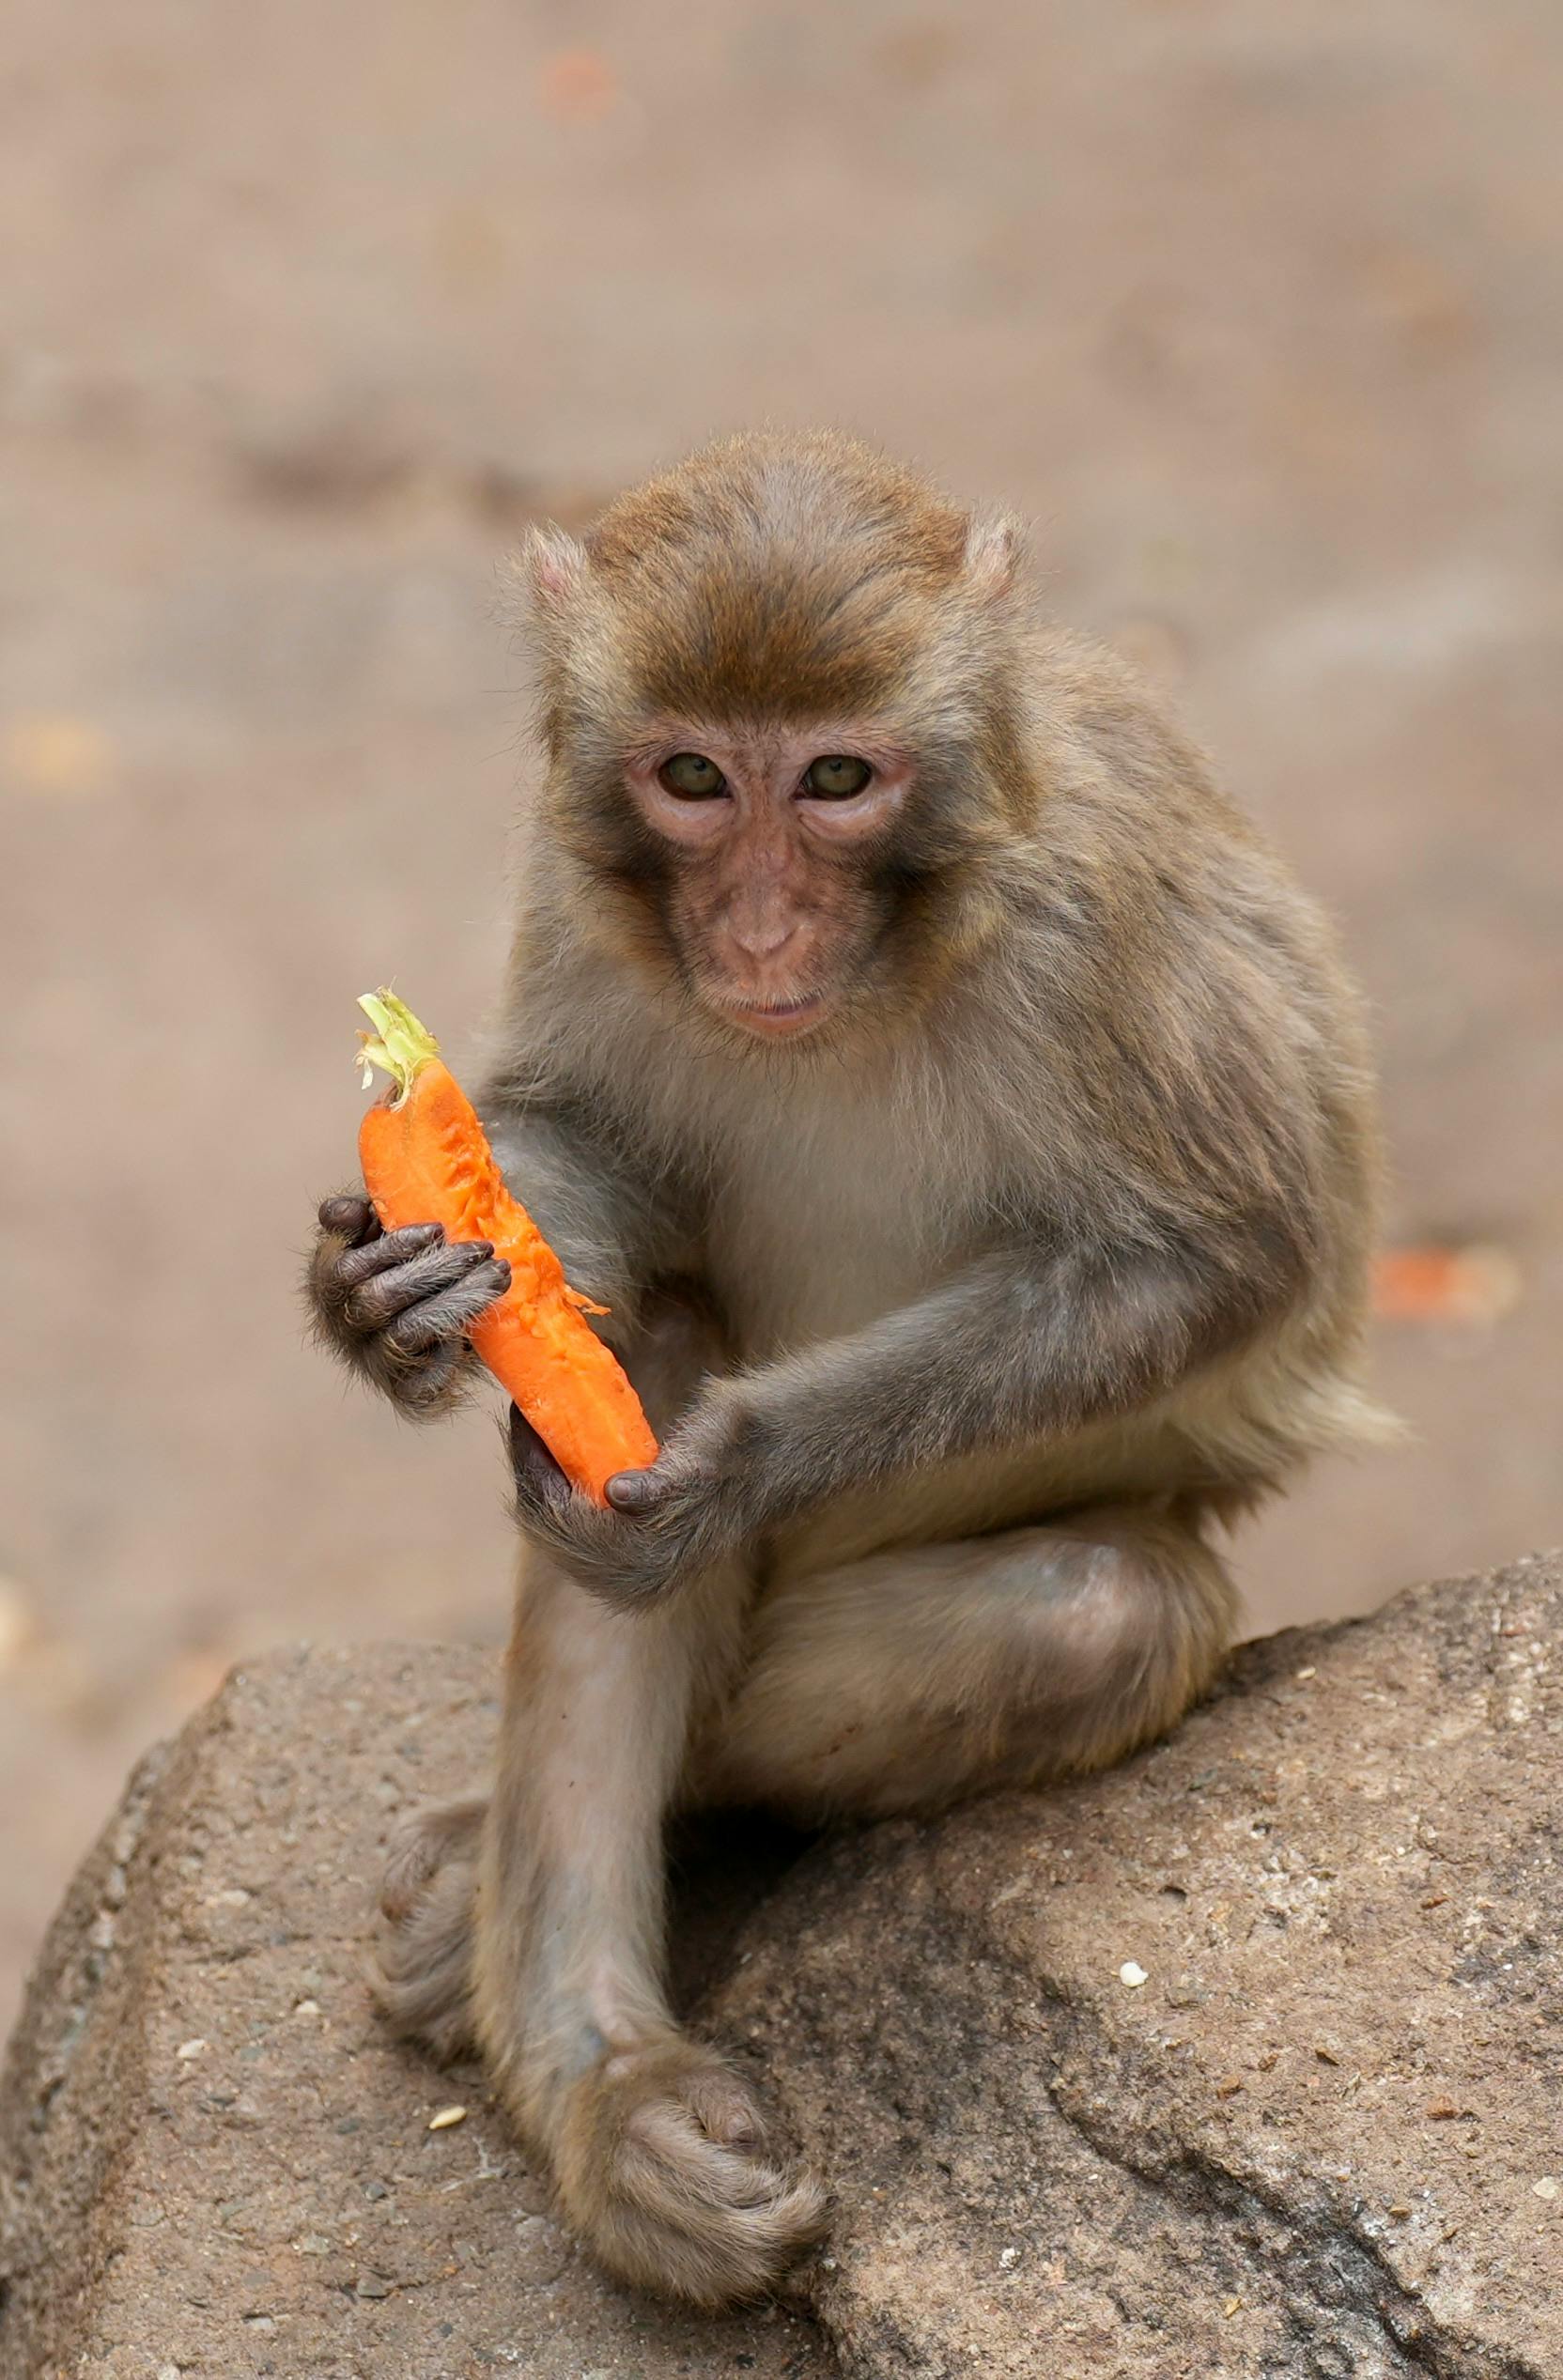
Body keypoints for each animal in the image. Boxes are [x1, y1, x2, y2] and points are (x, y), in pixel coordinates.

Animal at [306, 429, 1385, 2307]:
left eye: (832, 779)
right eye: (689, 776)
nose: (753, 930)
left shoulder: (1095, 912)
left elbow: (1216, 1257)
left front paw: (727, 1468)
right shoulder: (574, 898)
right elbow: (581, 1185)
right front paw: (383, 1290)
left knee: (1094, 1609)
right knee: (646, 1335)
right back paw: (601, 2077)